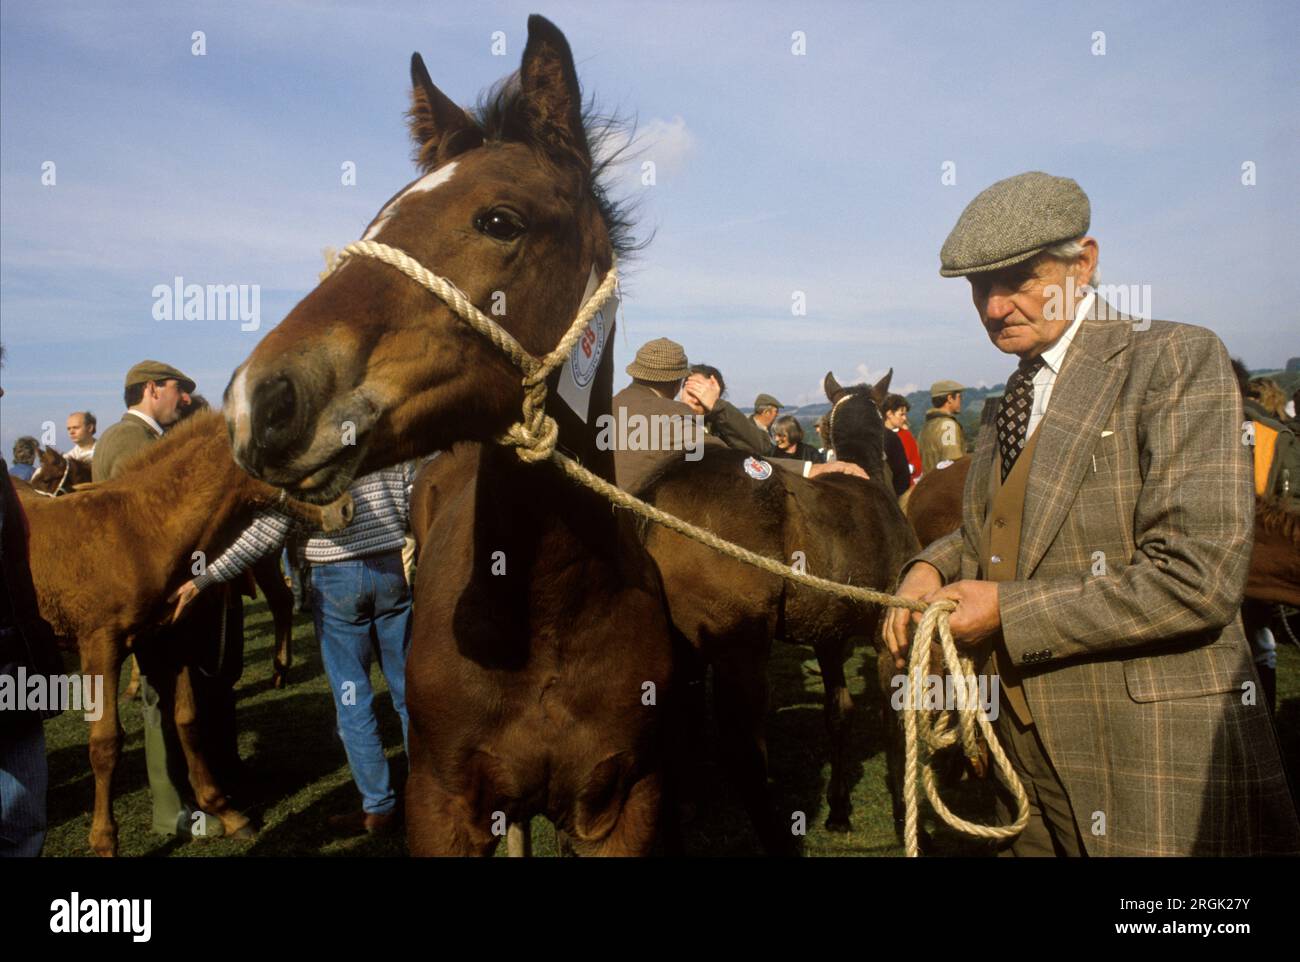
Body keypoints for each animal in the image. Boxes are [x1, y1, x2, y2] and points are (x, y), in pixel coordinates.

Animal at [25, 410, 351, 855]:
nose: (345, 507)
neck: (136, 531)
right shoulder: (99, 647)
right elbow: (105, 743)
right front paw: (105, 841)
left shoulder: (166, 639)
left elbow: (187, 721)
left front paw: (225, 811)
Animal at [222, 16, 676, 855]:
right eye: (377, 223)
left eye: (500, 220)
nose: (259, 402)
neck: (551, 616)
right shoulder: (440, 806)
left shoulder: (624, 809)